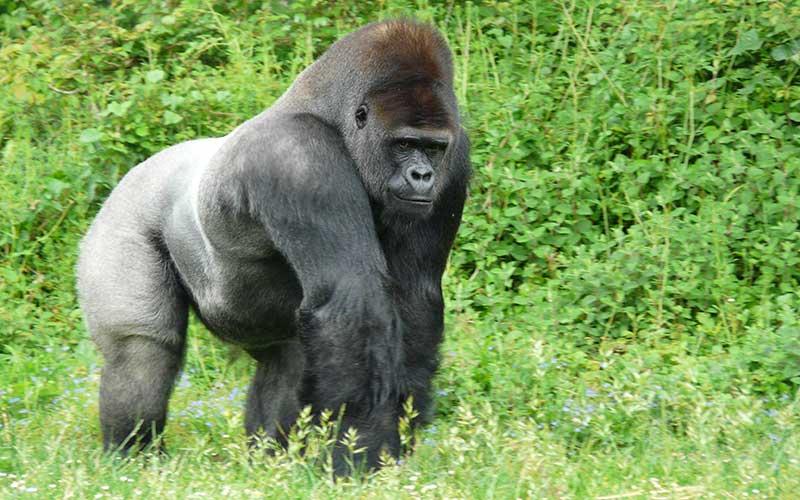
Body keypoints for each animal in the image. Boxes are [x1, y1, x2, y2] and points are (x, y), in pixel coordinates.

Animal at [77, 19, 470, 475]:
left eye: (433, 147)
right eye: (405, 143)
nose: (423, 176)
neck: (330, 115)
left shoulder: (456, 161)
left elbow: (413, 297)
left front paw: (399, 430)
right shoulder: (300, 158)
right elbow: (353, 299)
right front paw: (360, 452)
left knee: (287, 359)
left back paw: (269, 463)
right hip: (121, 220)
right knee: (142, 350)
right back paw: (132, 458)